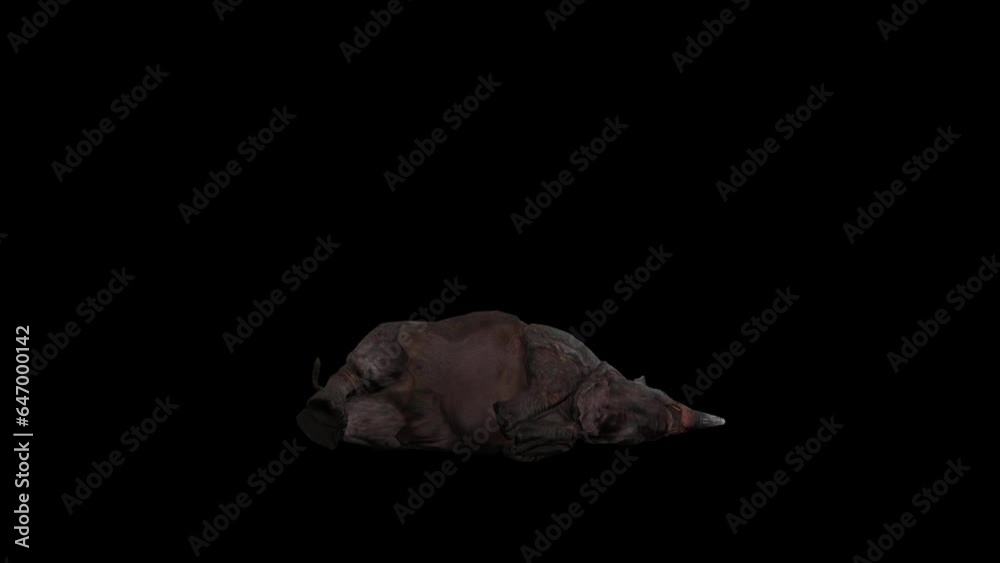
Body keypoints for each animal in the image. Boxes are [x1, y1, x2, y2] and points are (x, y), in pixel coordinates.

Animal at [296, 311, 724, 461]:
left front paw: (522, 441)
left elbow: (556, 436)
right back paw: (324, 415)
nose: (677, 415)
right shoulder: (551, 350)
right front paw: (506, 418)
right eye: (667, 402)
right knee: (354, 372)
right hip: (382, 345)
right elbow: (547, 380)